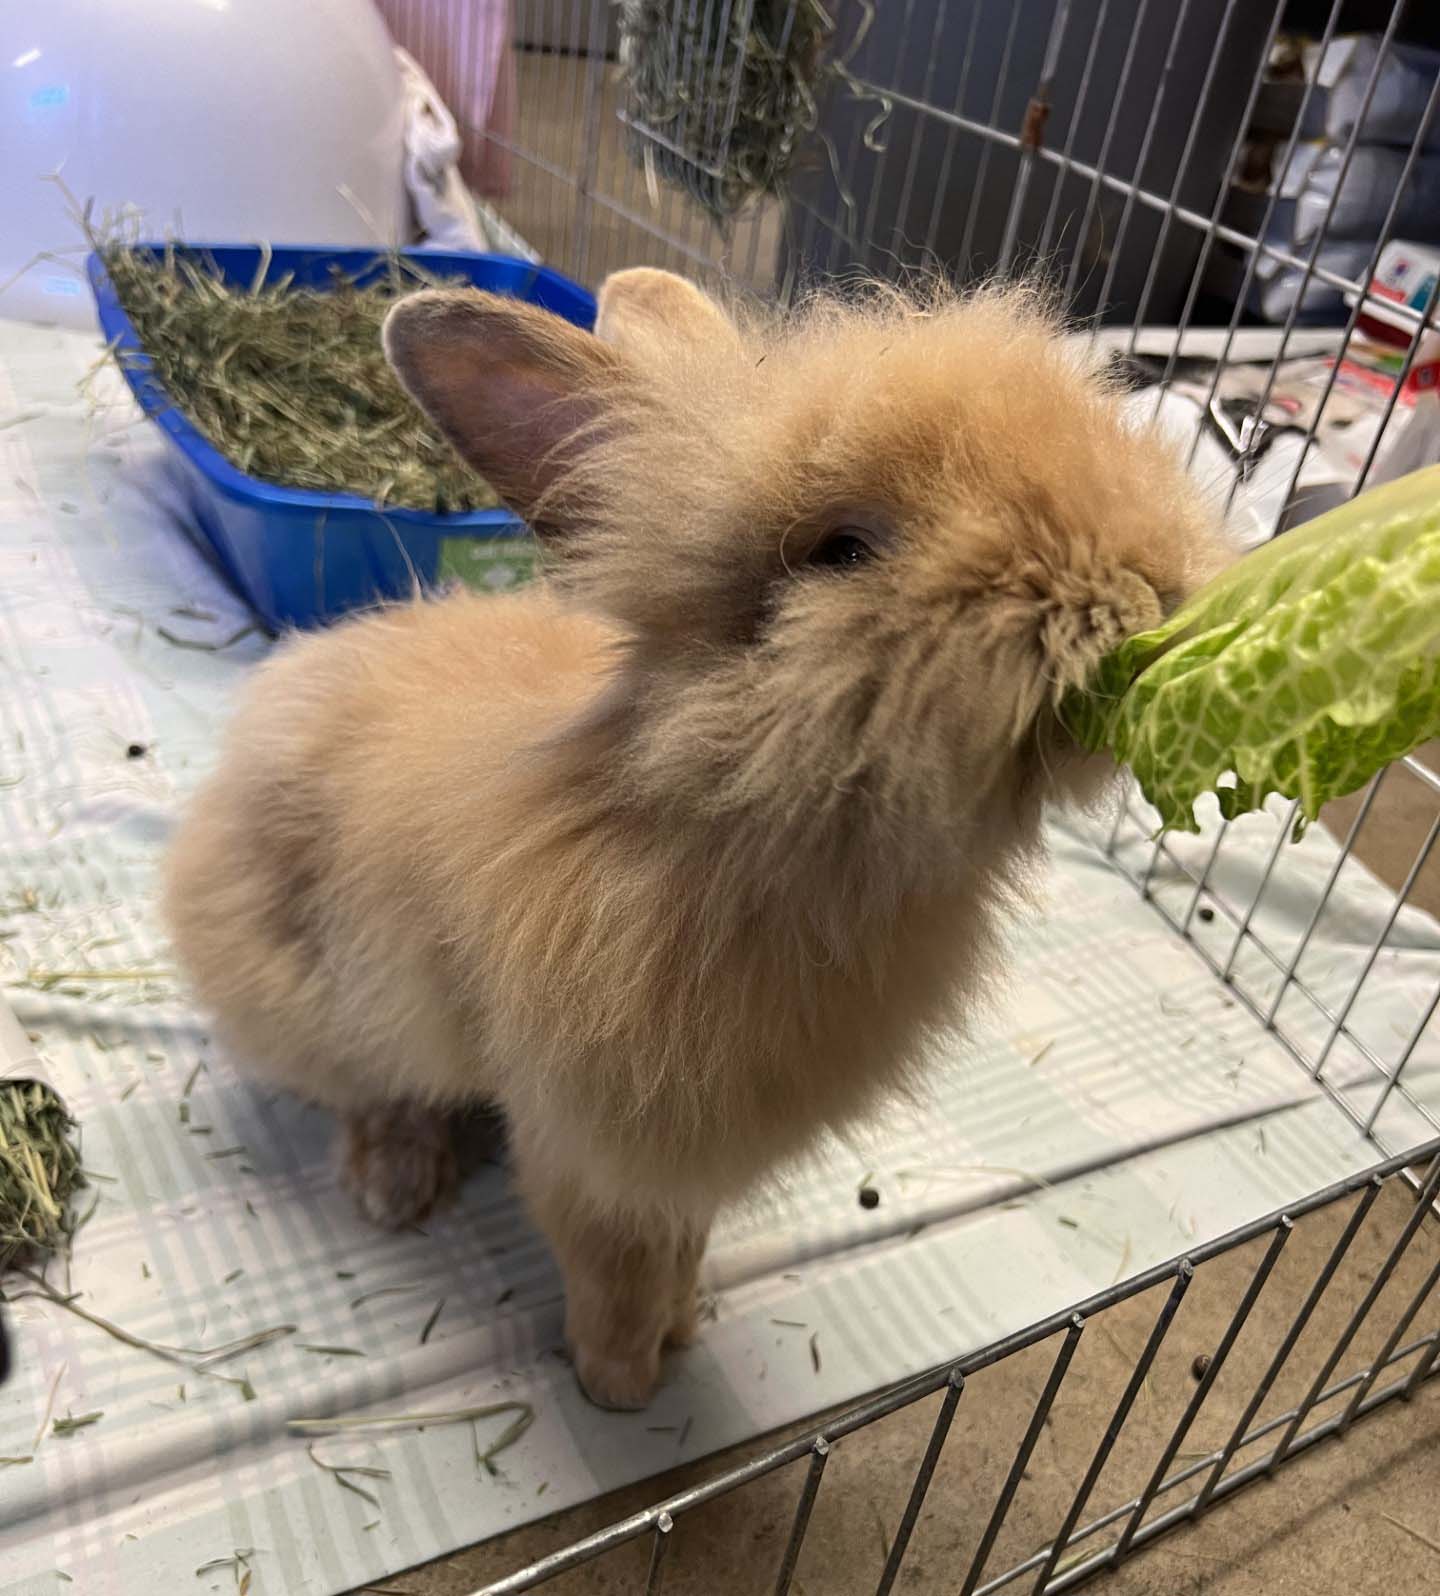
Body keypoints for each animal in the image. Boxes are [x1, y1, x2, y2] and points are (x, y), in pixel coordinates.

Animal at [162, 268, 1229, 1409]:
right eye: (845, 551)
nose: (1144, 595)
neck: (721, 815)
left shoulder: (695, 1161)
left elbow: (684, 1243)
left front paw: (686, 1320)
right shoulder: (599, 1151)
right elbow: (613, 1264)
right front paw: (624, 1381)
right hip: (318, 1000)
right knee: (362, 1091)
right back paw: (397, 1185)